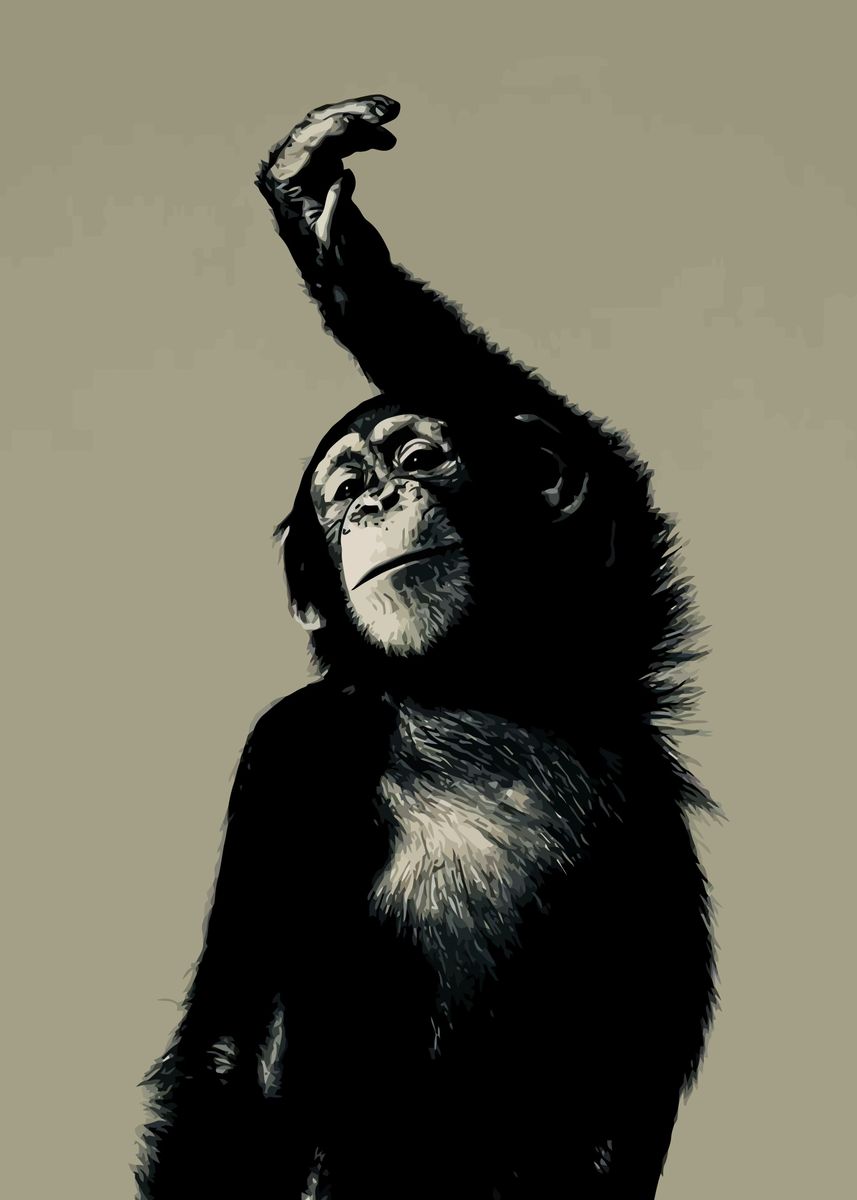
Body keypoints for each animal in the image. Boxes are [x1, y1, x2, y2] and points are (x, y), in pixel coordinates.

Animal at [136, 96, 717, 1199]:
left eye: (417, 454)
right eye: (340, 489)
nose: (374, 499)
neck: (455, 679)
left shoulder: (597, 614)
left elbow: (585, 470)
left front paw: (327, 226)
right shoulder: (295, 750)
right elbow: (242, 1061)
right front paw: (313, 208)